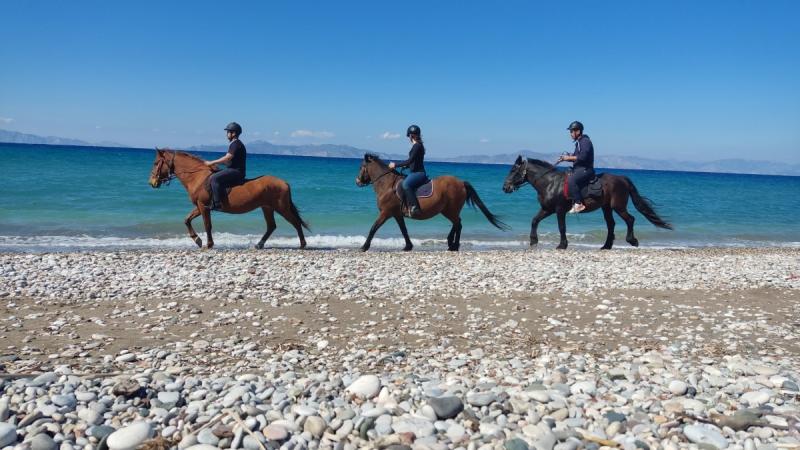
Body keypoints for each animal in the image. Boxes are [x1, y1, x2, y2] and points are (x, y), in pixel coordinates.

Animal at [148, 149, 309, 250]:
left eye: (156, 163)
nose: (152, 182)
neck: (198, 178)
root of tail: (284, 183)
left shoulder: (203, 206)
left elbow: (207, 225)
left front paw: (208, 244)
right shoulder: (200, 206)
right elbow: (187, 219)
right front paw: (197, 240)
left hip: (281, 207)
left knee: (295, 223)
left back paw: (302, 244)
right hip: (267, 207)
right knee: (271, 226)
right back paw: (259, 244)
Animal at [355, 153, 508, 251]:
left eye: (361, 166)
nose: (357, 181)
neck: (387, 186)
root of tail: (461, 183)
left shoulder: (386, 213)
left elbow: (373, 228)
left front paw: (364, 247)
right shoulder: (397, 214)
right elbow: (404, 230)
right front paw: (408, 246)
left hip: (450, 210)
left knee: (458, 224)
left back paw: (454, 246)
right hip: (447, 210)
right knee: (457, 223)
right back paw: (450, 243)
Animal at [502, 156, 672, 250]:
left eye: (513, 170)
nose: (505, 187)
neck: (550, 183)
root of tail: (622, 178)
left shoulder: (559, 210)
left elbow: (561, 227)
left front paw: (562, 245)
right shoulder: (547, 209)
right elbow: (534, 221)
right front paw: (533, 241)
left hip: (618, 206)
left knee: (630, 219)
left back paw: (632, 241)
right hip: (606, 207)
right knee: (611, 224)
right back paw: (606, 246)